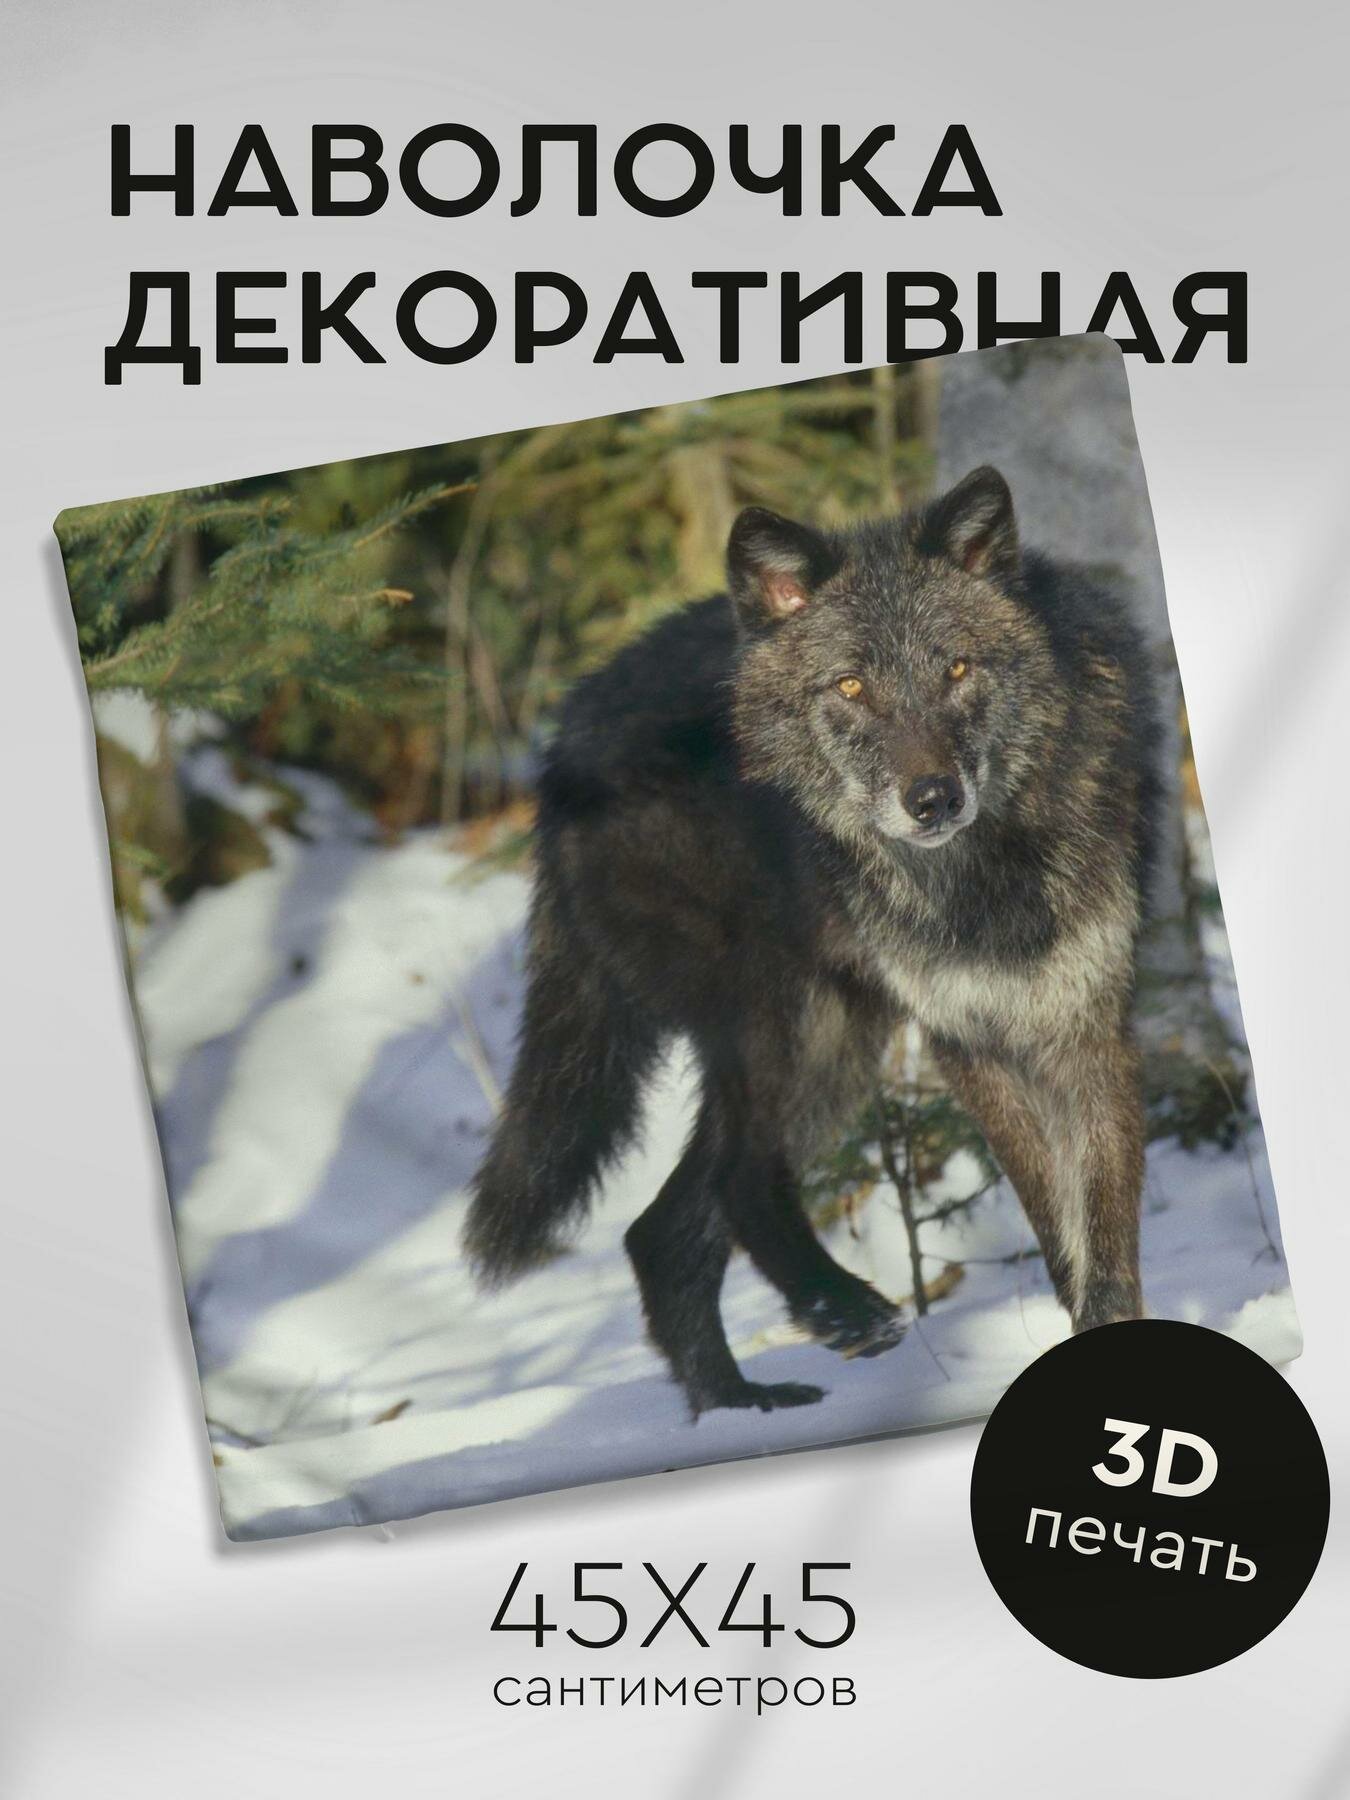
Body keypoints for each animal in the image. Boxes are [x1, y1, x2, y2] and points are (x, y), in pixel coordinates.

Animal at [464, 465, 1161, 1416]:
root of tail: (563, 741)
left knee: (662, 1230)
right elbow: (1057, 1229)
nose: (933, 799)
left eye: (957, 667)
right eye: (852, 687)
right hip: (778, 1019)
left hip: (836, 1047)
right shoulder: (967, 1045)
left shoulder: (1086, 1029)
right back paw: (840, 1310)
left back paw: (735, 1409)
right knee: (737, 1181)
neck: (980, 881)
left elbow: (1102, 1244)